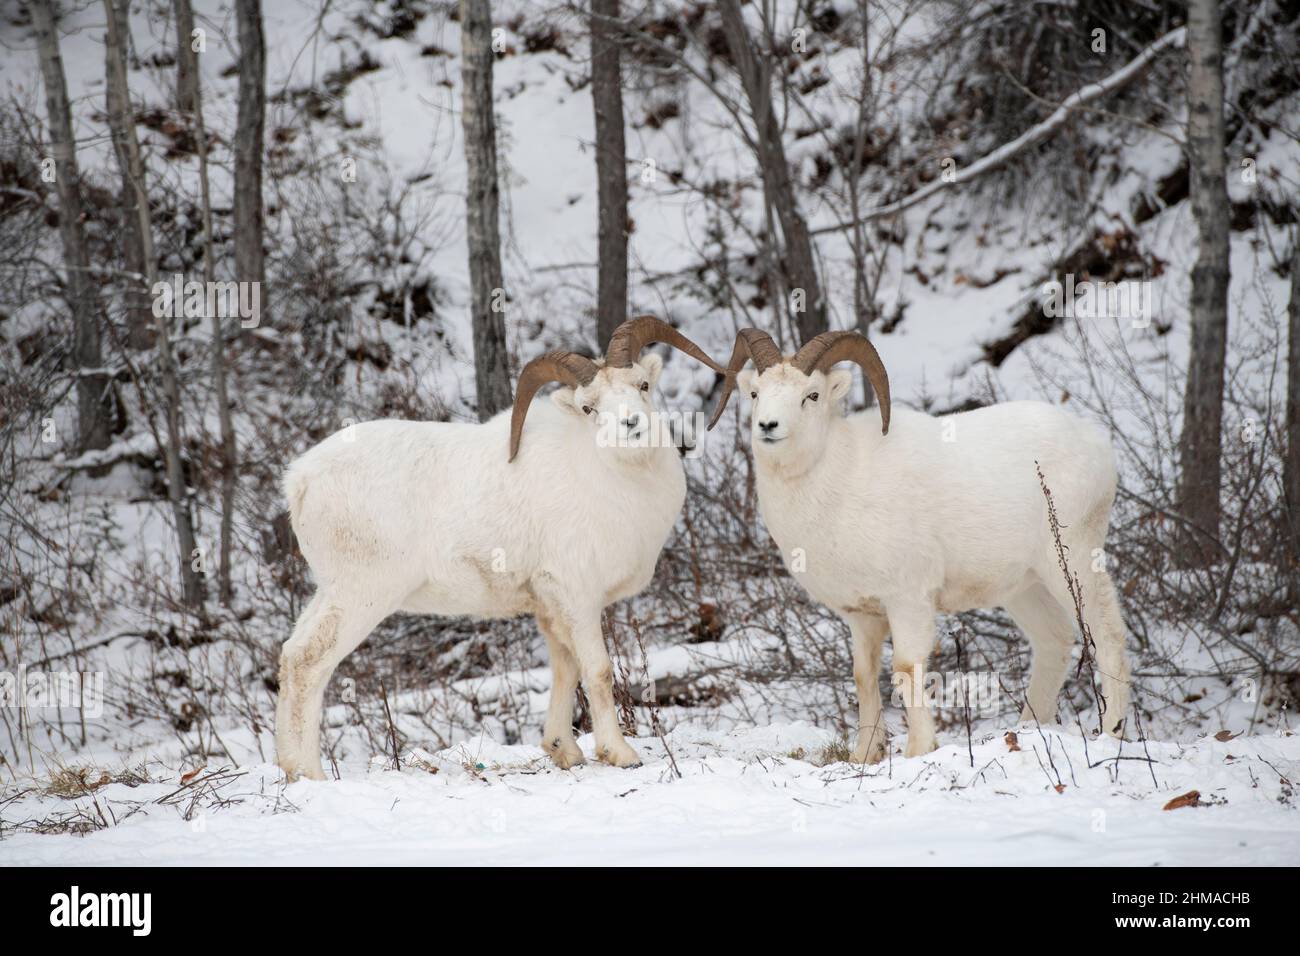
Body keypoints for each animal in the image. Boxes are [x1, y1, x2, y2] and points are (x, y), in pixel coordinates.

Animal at [275, 316, 723, 781]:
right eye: (589, 407)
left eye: (642, 385)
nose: (631, 425)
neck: (618, 482)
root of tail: (300, 480)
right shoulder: (579, 597)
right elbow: (597, 671)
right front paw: (620, 754)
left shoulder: (551, 606)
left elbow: (565, 669)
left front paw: (564, 751)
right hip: (361, 596)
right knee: (310, 662)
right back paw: (310, 774)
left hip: (329, 593)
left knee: (291, 657)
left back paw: (292, 770)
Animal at [707, 328, 1131, 762]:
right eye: (755, 392)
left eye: (811, 395)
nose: (768, 426)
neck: (839, 482)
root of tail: (1097, 445)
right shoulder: (862, 616)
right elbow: (864, 676)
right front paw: (865, 756)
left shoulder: (908, 601)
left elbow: (907, 669)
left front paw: (917, 750)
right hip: (1024, 588)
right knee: (1054, 643)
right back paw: (1027, 729)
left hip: (1072, 565)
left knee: (1108, 637)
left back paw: (1111, 734)